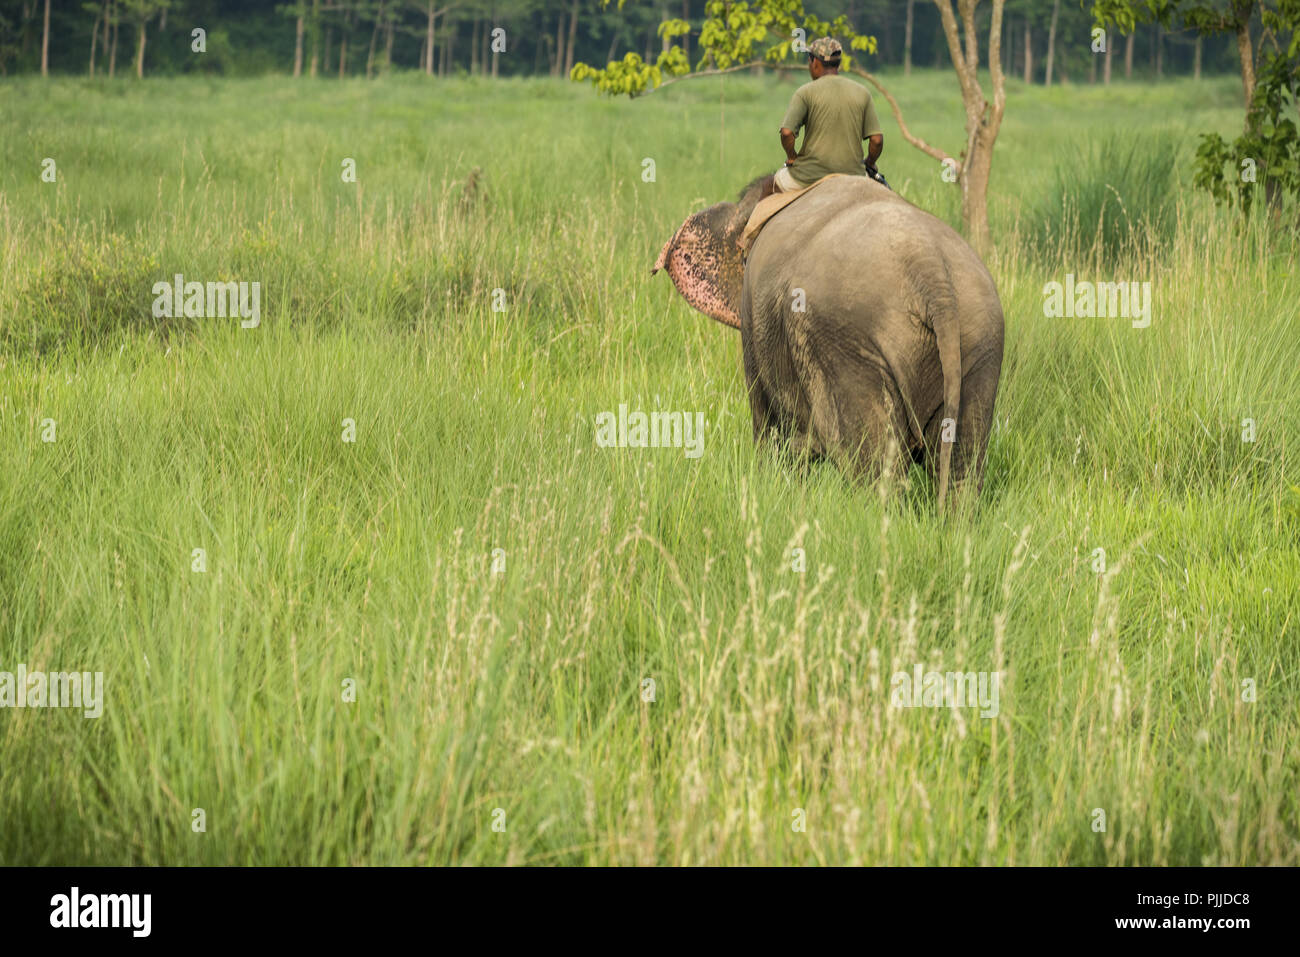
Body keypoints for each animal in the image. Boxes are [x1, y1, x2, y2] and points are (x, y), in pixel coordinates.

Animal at [651, 174, 1004, 507]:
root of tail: (930, 269)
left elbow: (768, 426)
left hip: (846, 344)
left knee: (875, 470)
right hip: (979, 341)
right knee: (962, 468)